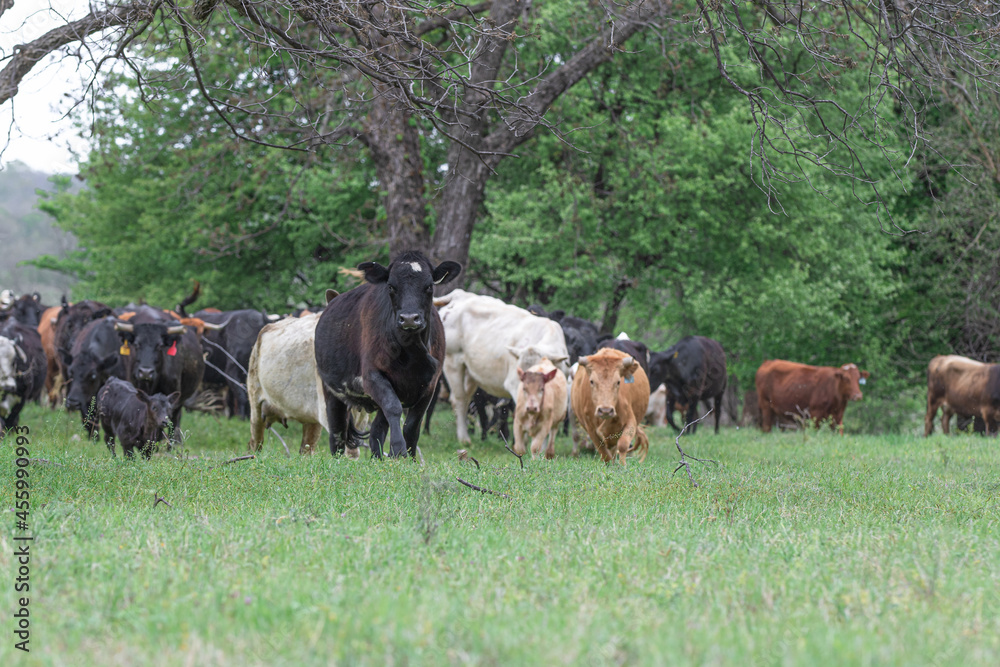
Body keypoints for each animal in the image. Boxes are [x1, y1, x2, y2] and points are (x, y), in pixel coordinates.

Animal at [315, 252, 461, 458]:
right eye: (391, 286)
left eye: (429, 286)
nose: (409, 318)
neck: (412, 353)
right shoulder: (372, 376)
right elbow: (394, 408)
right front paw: (398, 449)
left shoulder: (430, 385)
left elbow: (412, 425)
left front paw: (408, 457)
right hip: (332, 391)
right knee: (337, 432)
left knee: (376, 430)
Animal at [435, 289, 569, 444]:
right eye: (521, 376)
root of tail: (460, 294)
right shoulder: (514, 386)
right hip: (453, 362)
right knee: (460, 399)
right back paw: (464, 439)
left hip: (470, 373)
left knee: (465, 400)